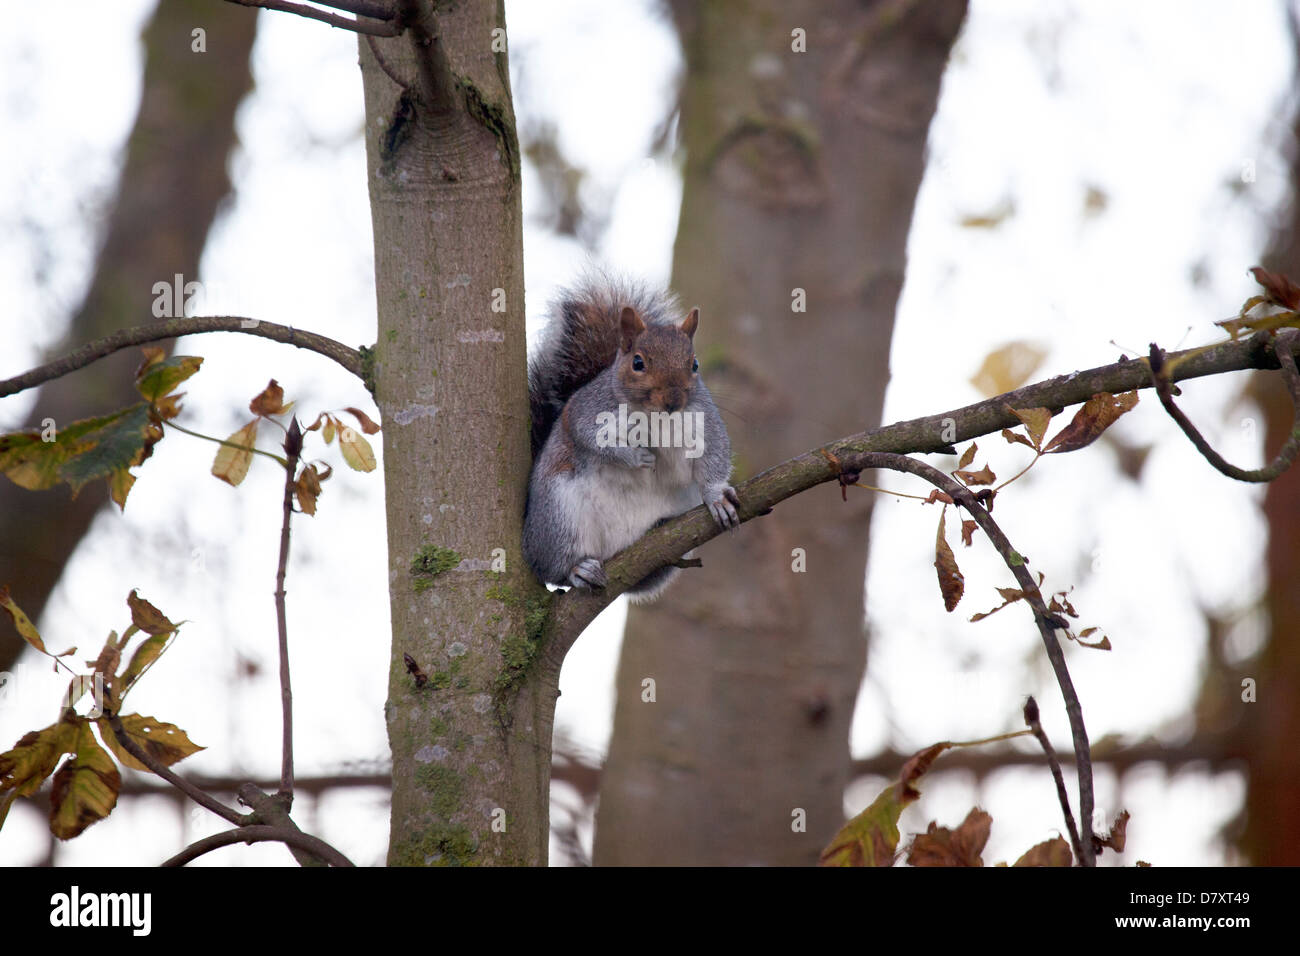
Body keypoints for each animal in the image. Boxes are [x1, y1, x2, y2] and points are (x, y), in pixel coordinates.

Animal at [523, 274, 740, 602]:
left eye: (694, 364)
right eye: (638, 363)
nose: (673, 401)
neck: (657, 416)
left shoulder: (705, 422)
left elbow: (715, 455)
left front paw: (717, 497)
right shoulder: (589, 410)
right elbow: (590, 437)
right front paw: (635, 456)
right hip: (557, 517)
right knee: (553, 567)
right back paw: (577, 569)